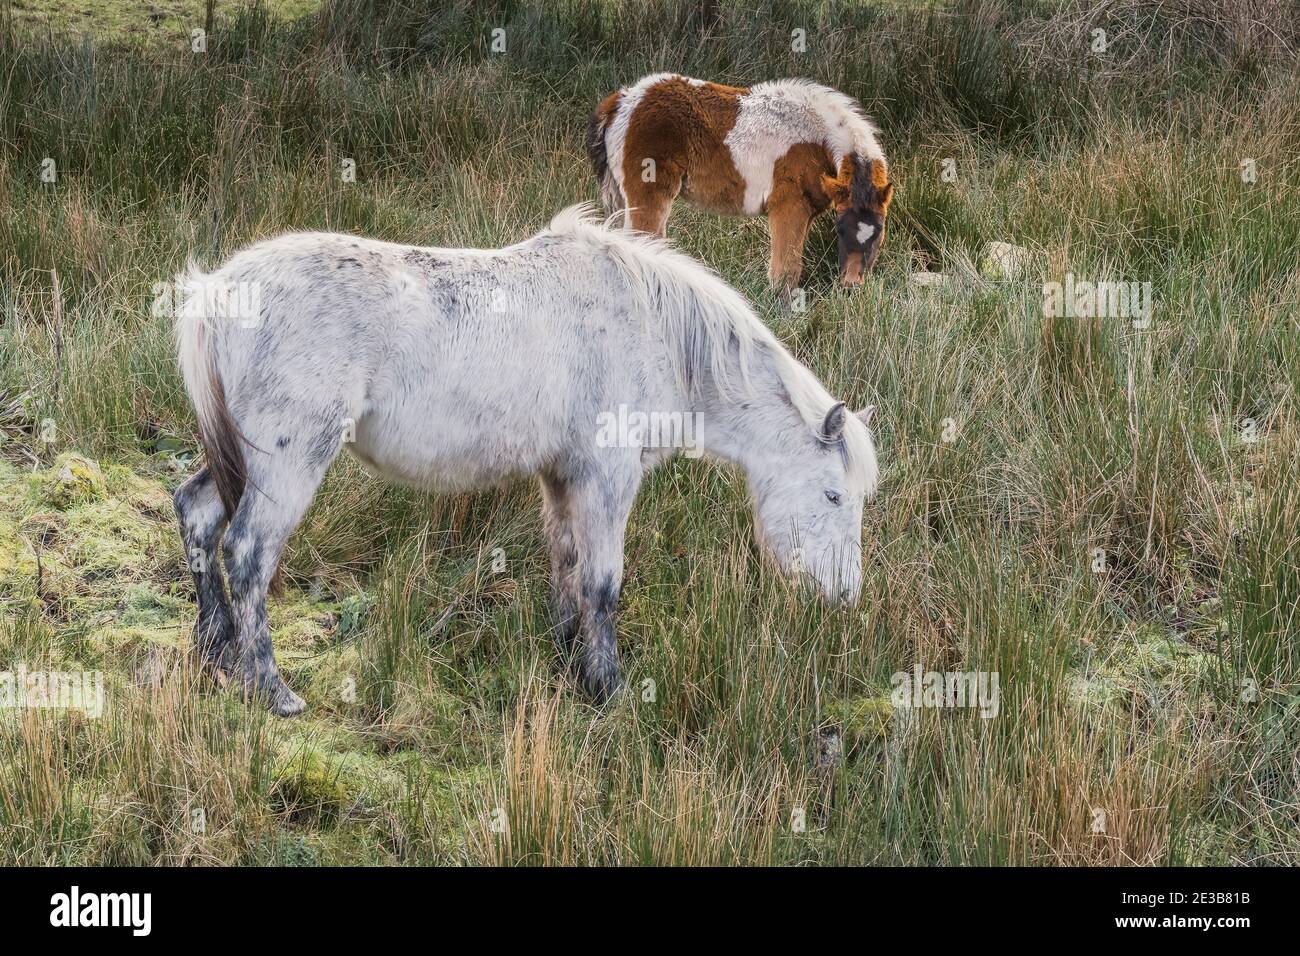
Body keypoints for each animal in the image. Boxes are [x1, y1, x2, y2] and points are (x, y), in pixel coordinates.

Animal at [172, 206, 879, 716]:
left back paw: (217, 651)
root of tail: (218, 291)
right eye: (834, 496)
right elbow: (603, 584)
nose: (846, 595)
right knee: (248, 553)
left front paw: (568, 661)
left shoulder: (562, 476)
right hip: (288, 465)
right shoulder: (607, 478)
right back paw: (271, 689)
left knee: (198, 513)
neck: (651, 328)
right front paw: (610, 689)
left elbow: (567, 567)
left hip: (244, 463)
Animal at [588, 74, 894, 295]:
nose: (851, 286)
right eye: (839, 230)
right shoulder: (789, 206)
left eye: (879, 232)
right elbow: (785, 270)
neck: (818, 138)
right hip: (649, 193)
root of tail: (622, 100)